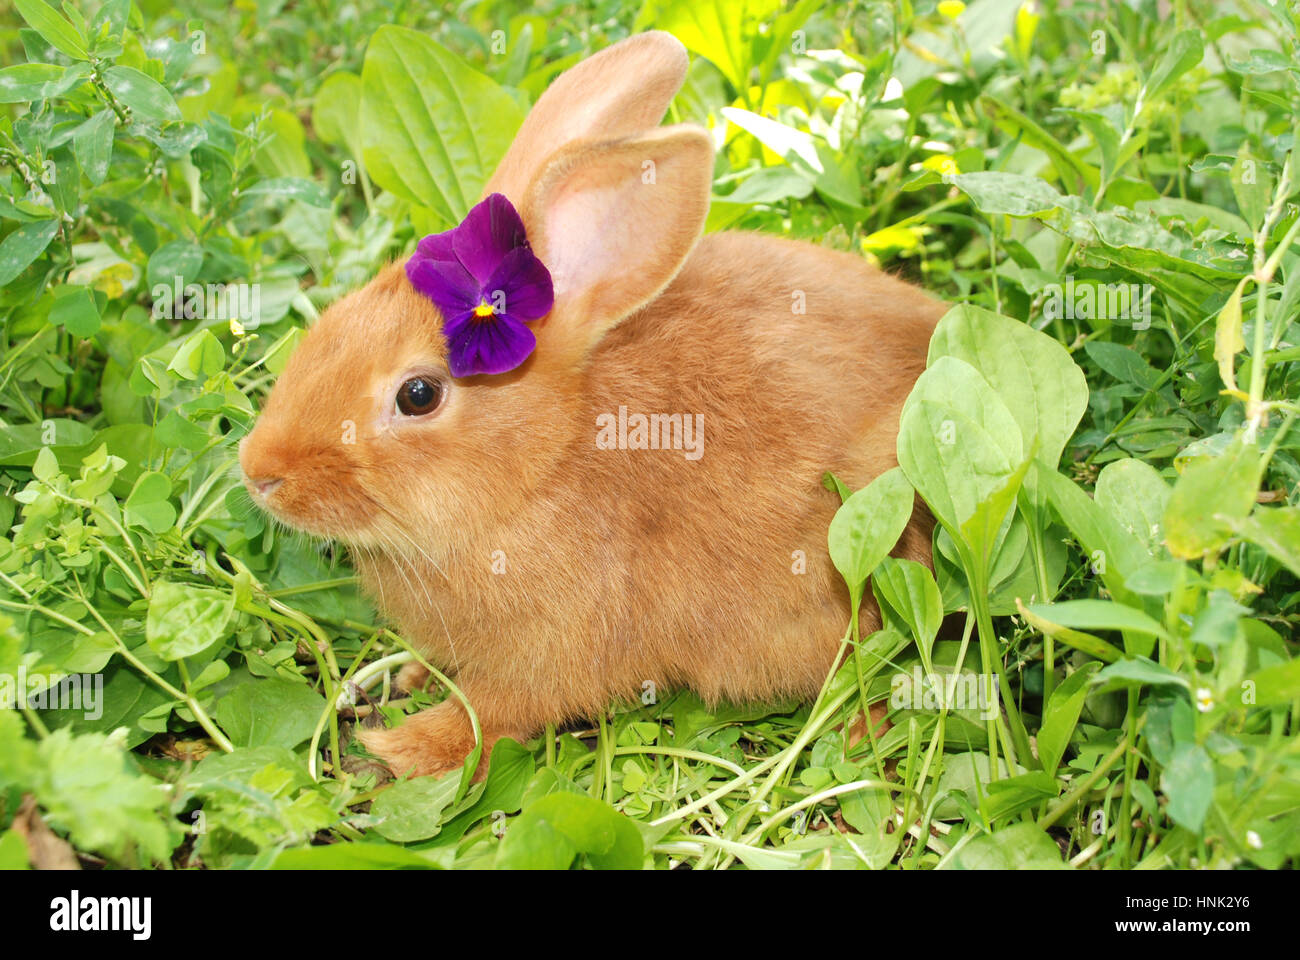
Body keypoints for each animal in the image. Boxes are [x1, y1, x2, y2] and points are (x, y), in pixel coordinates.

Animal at [238, 30, 945, 779]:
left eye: (419, 394)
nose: (259, 473)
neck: (544, 464)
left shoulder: (553, 651)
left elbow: (490, 714)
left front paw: (400, 750)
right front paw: (410, 679)